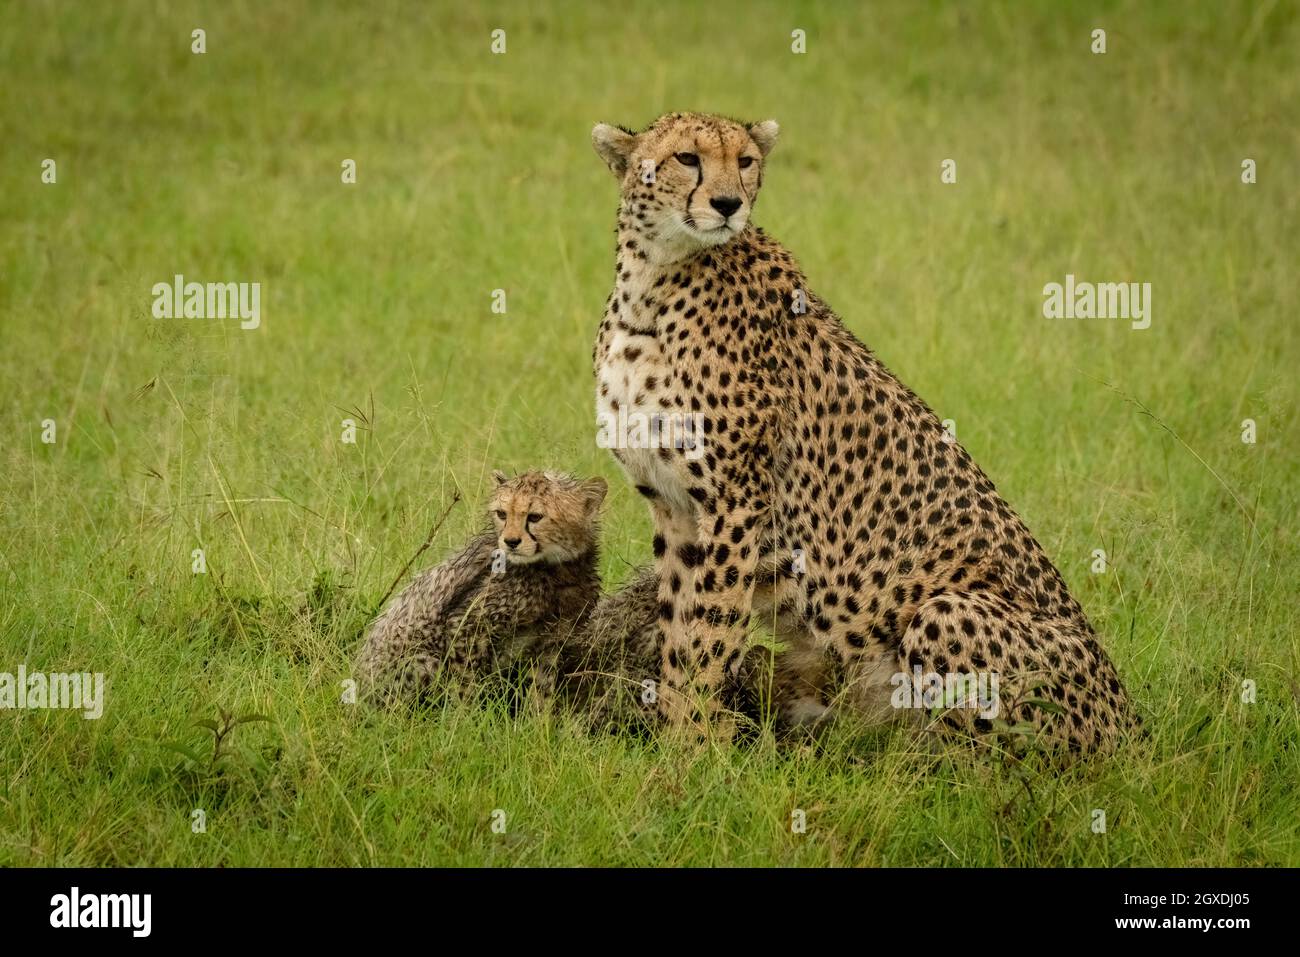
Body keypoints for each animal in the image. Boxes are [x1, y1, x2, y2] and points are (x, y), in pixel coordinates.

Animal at [353, 470, 606, 706]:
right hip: (422, 663)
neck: (557, 571)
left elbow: (541, 691)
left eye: (535, 516)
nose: (510, 541)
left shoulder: (552, 643)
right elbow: (465, 686)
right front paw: (463, 719)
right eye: (502, 514)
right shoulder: (464, 626)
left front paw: (539, 722)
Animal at [589, 111, 1139, 754]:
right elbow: (679, 630)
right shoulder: (675, 508)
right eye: (686, 158)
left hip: (945, 614)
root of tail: (1135, 727)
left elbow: (708, 632)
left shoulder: (735, 503)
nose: (728, 203)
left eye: (745, 161)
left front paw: (695, 748)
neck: (653, 280)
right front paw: (678, 740)